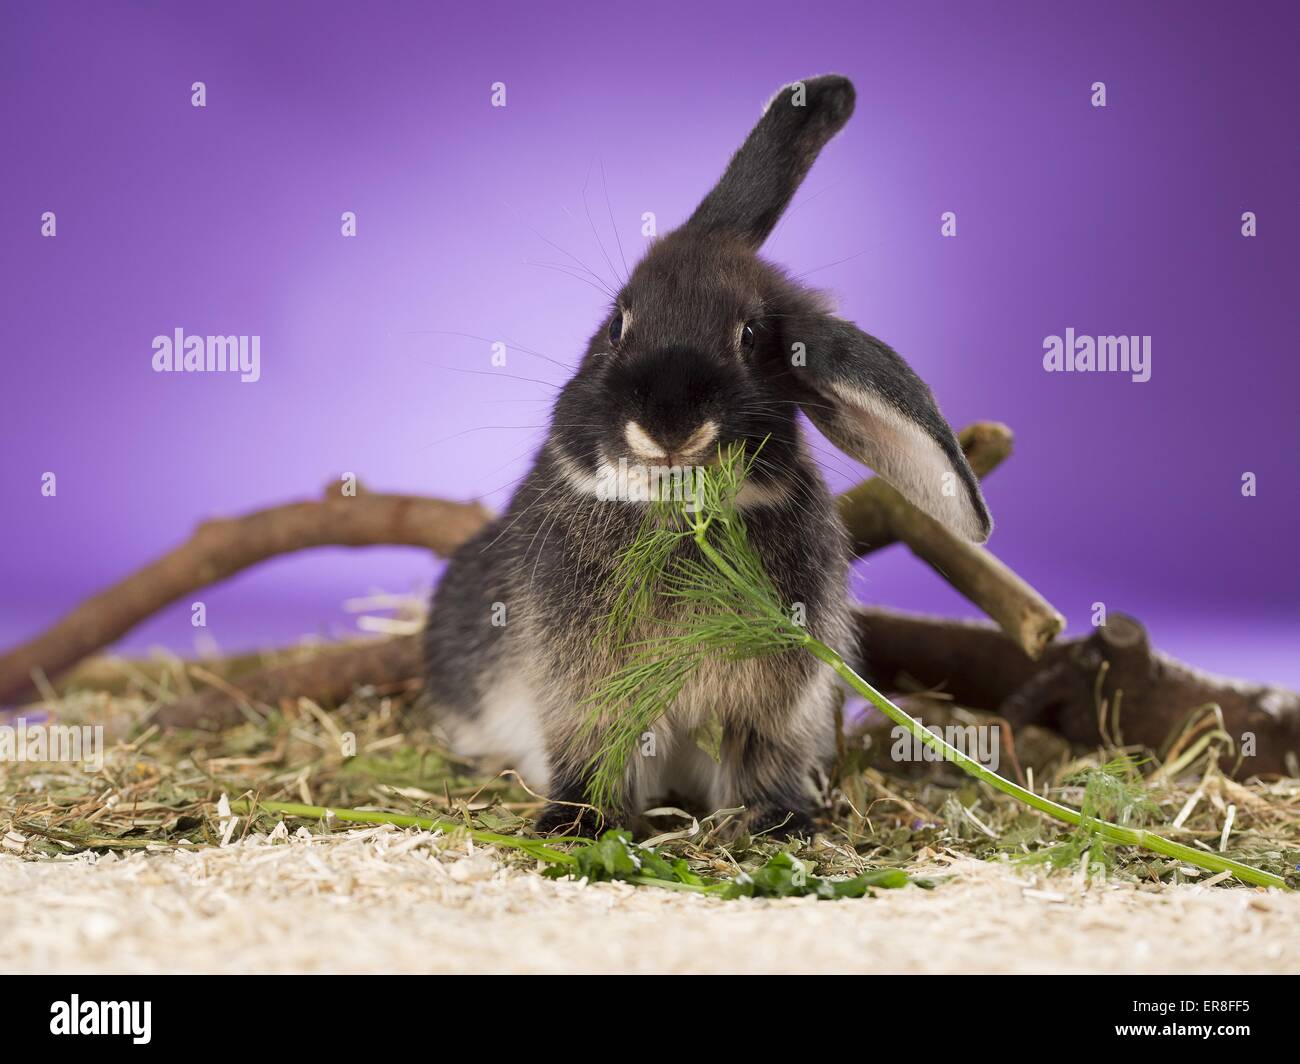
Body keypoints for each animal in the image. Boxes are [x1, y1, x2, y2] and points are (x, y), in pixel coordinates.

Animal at [424, 75, 992, 838]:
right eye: (617, 323)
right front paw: (573, 824)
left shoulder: (771, 706)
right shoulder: (582, 694)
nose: (669, 425)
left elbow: (758, 762)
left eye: (750, 337)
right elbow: (593, 751)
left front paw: (781, 821)